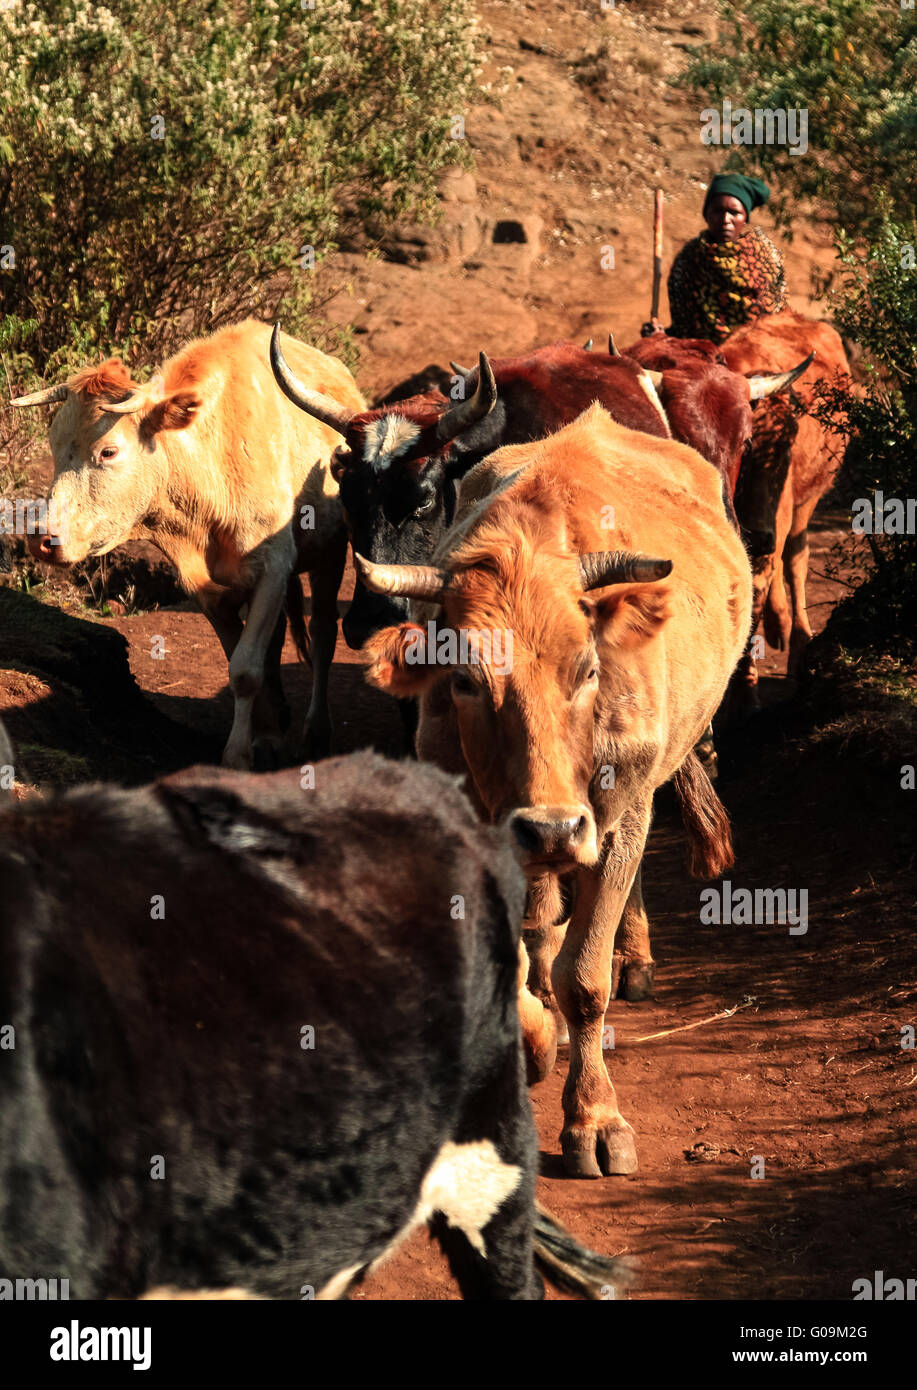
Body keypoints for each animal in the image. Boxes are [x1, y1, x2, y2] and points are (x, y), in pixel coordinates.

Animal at [10, 320, 366, 769]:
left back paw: (317, 731)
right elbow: (244, 659)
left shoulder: (274, 565)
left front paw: (237, 755)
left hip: (331, 552)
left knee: (321, 633)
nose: (42, 537)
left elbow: (245, 670)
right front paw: (263, 739)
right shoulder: (205, 588)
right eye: (55, 447)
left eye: (108, 451)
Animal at [359, 404, 752, 1177]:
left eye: (587, 669)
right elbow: (513, 955)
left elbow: (584, 978)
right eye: (464, 680)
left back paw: (631, 957)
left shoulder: (619, 808)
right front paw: (534, 1037)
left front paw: (594, 1118)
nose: (549, 827)